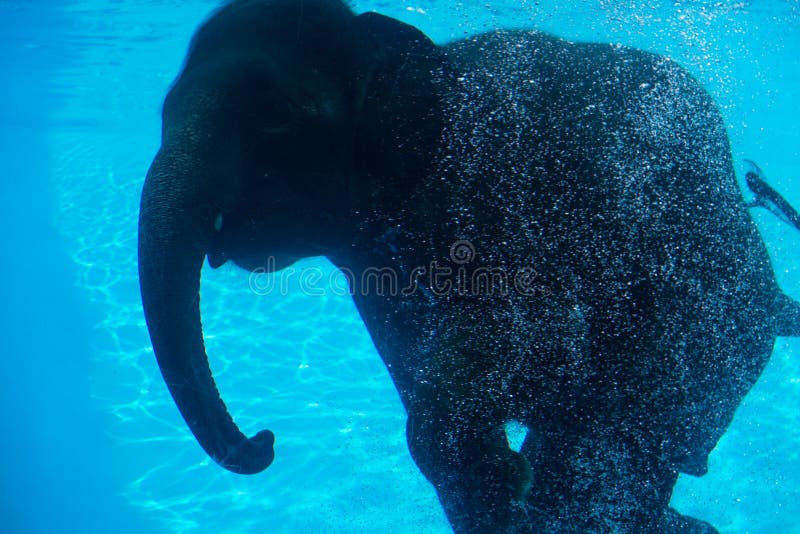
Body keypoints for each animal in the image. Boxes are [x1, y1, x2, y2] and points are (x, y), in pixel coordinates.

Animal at [138, 0, 800, 531]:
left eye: (277, 115)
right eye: (162, 111)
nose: (265, 440)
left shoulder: (491, 185)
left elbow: (545, 337)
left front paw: (506, 486)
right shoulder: (372, 261)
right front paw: (502, 487)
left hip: (710, 345)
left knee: (618, 446)